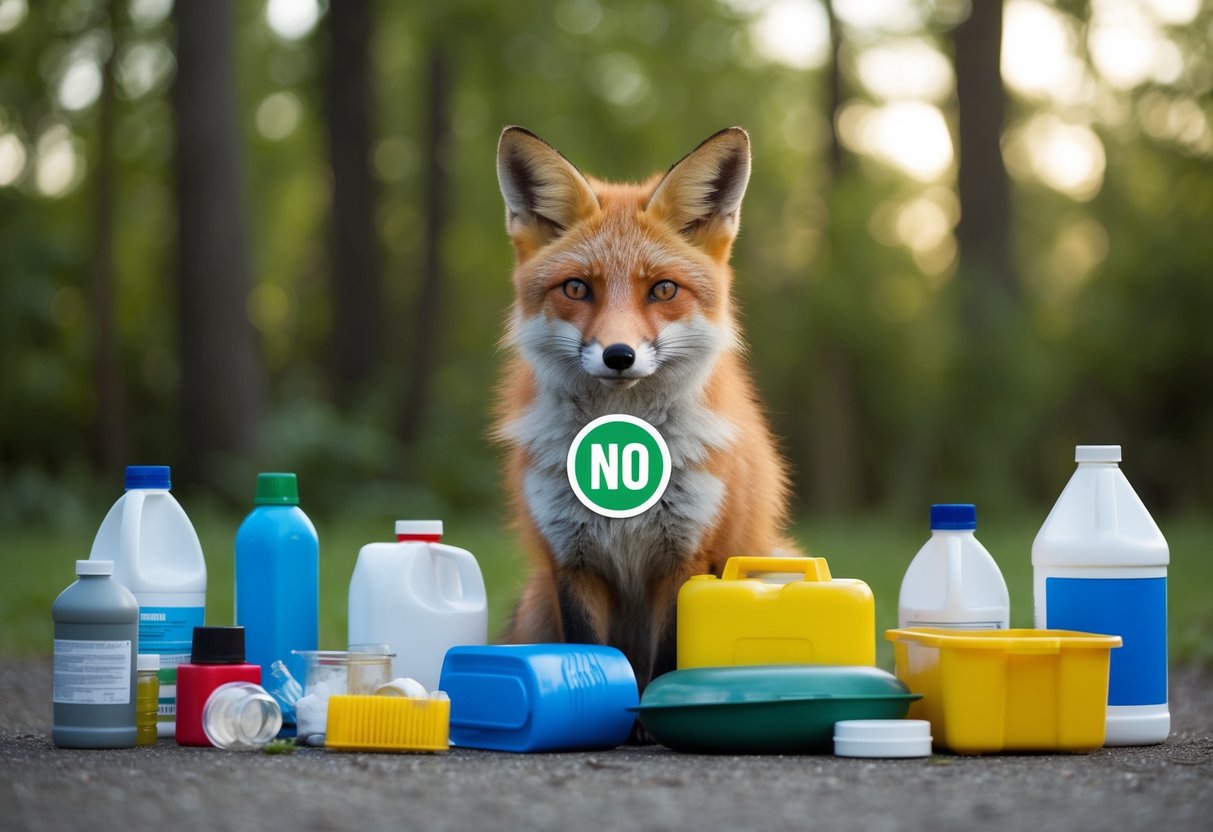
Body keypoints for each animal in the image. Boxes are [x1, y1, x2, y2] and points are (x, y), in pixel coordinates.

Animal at [493, 125, 798, 695]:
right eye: (576, 288)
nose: (619, 355)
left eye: (662, 289)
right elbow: (591, 652)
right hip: (538, 598)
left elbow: (666, 665)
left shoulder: (688, 559)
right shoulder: (571, 562)